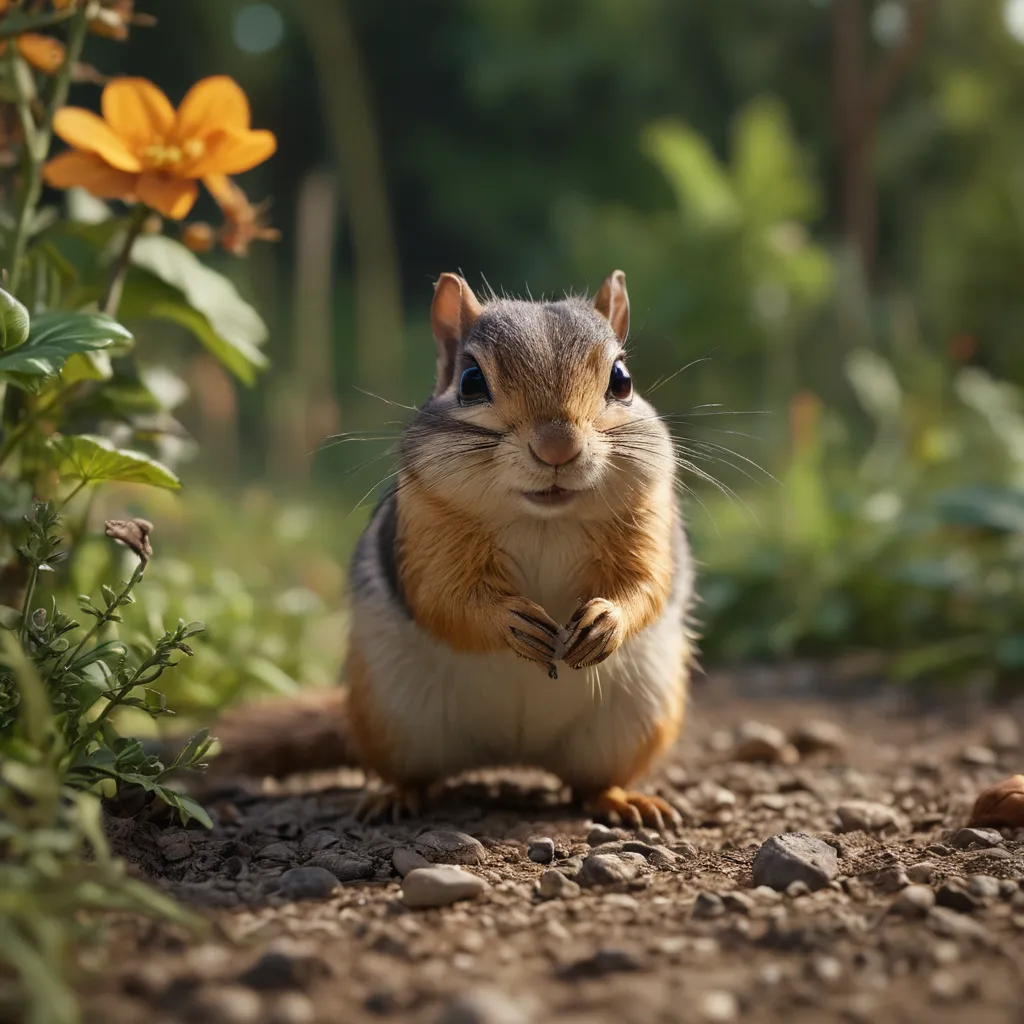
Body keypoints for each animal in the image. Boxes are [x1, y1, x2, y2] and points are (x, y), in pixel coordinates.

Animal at [208, 270, 696, 830]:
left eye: (622, 380)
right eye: (470, 382)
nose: (557, 447)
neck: (543, 520)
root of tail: (513, 751)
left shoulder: (648, 522)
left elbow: (646, 583)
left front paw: (605, 621)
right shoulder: (424, 533)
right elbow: (442, 598)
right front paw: (510, 621)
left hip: (631, 724)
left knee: (590, 784)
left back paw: (622, 799)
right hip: (394, 720)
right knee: (412, 773)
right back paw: (395, 796)